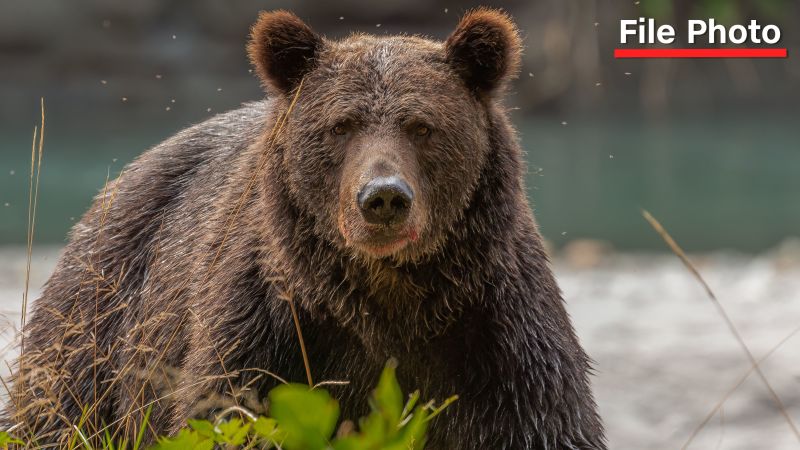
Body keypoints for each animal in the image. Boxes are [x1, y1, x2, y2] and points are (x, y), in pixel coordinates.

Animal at [4, 8, 606, 449]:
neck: (389, 296)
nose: (383, 198)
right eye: (342, 125)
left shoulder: (497, 332)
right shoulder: (271, 322)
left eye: (422, 126)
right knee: (59, 414)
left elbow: (545, 421)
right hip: (101, 318)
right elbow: (228, 415)